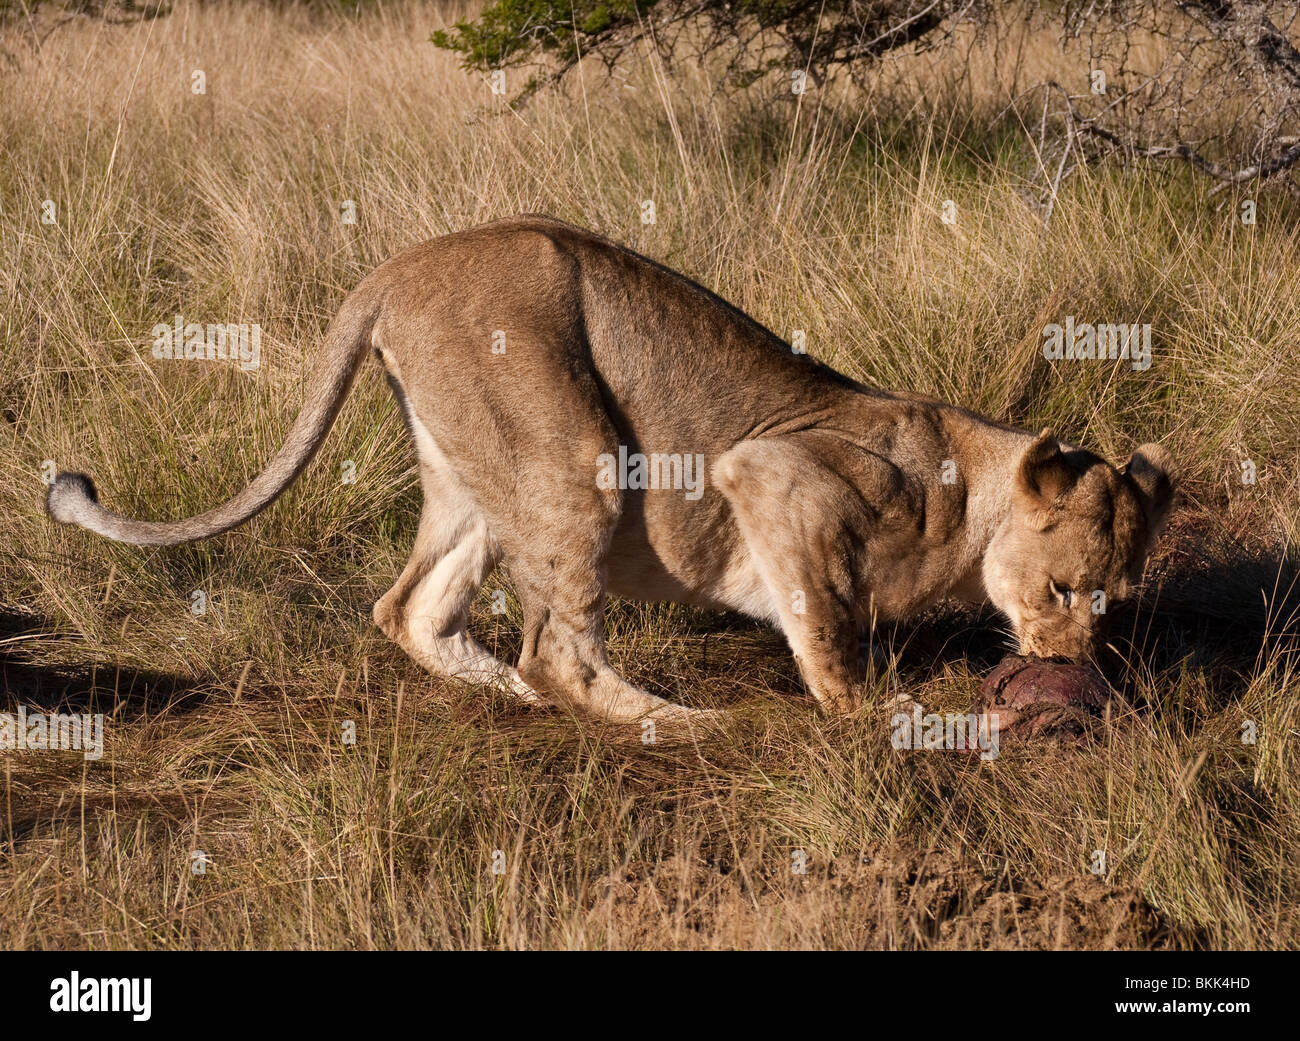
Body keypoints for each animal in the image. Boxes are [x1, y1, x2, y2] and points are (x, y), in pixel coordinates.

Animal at [47, 215, 1175, 724]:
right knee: (557, 649)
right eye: (1063, 588)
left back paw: (499, 684)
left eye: (1114, 602)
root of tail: (394, 267)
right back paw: (669, 723)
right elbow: (822, 621)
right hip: (579, 456)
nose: (1074, 660)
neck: (974, 489)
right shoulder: (775, 472)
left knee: (410, 607)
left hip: (476, 477)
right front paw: (871, 716)